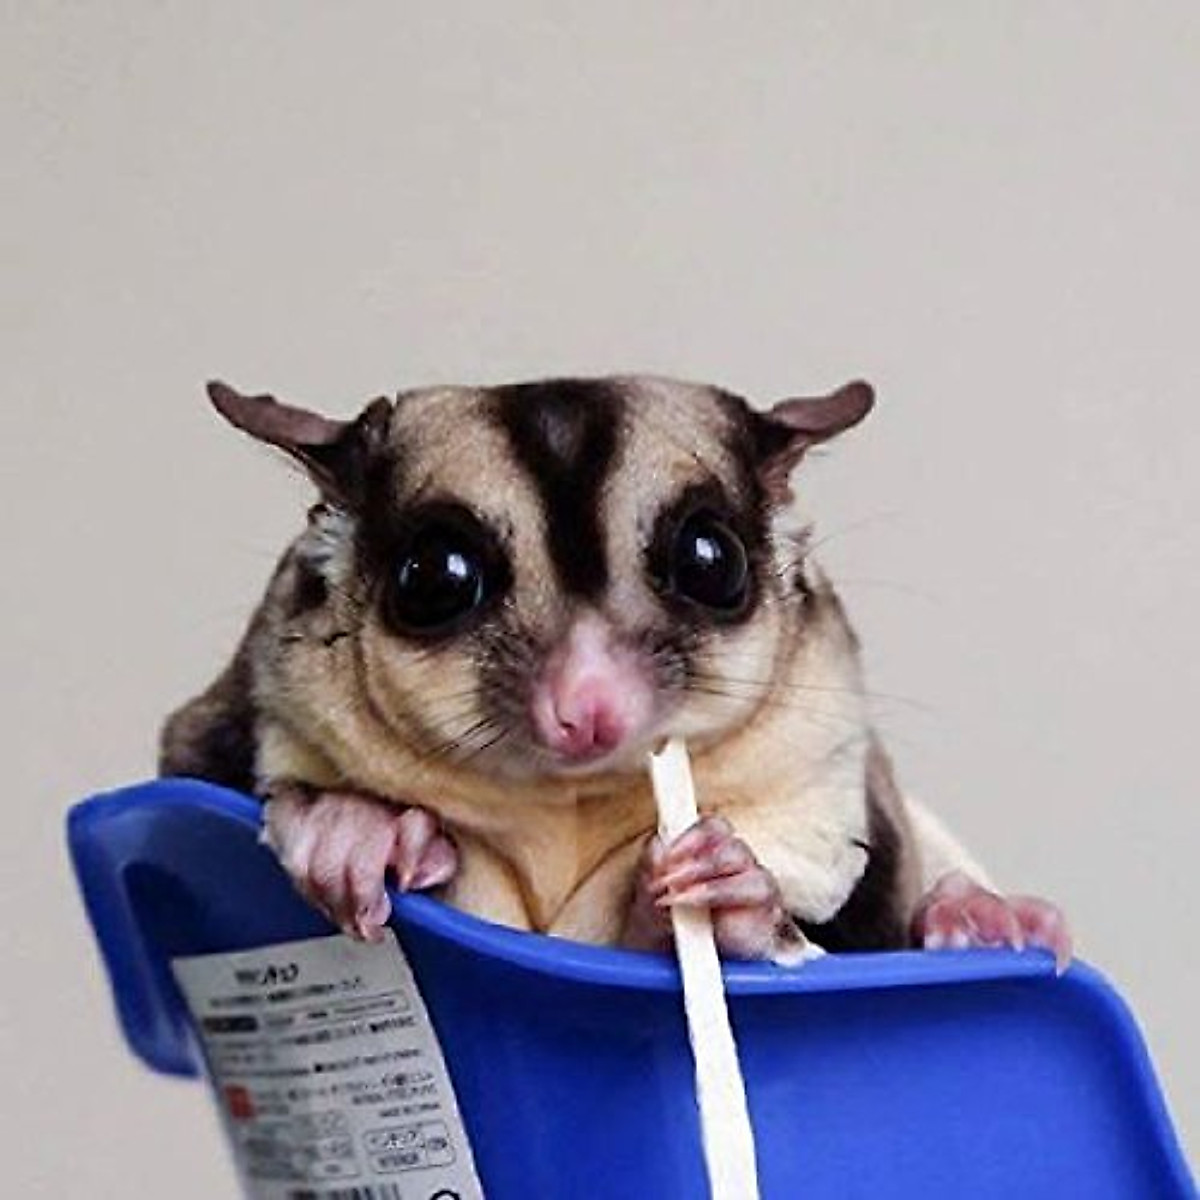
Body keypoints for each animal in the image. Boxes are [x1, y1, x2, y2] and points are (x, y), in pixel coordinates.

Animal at [160, 375, 1070, 965]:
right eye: (437, 577)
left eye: (709, 559)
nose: (587, 705)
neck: (565, 807)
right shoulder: (229, 717)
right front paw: (355, 830)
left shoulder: (833, 787)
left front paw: (726, 890)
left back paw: (984, 918)